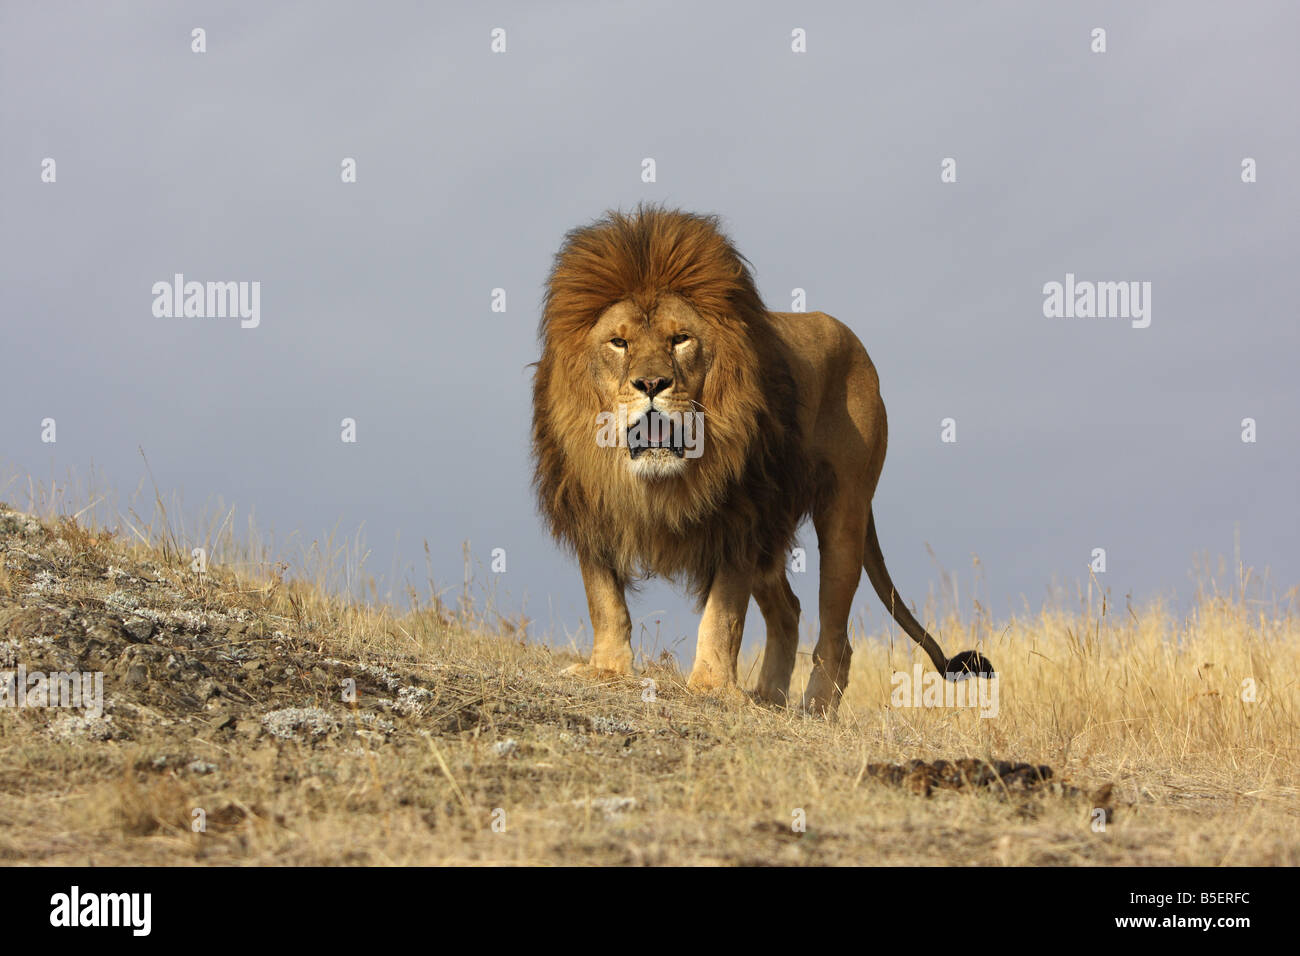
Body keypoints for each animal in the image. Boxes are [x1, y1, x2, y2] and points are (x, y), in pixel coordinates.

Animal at [531, 204, 993, 713]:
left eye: (680, 339)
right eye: (619, 343)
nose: (651, 384)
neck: (656, 477)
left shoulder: (741, 516)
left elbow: (723, 614)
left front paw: (710, 686)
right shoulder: (589, 504)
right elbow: (605, 599)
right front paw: (607, 671)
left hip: (844, 513)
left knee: (835, 633)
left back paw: (814, 710)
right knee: (789, 611)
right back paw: (768, 696)